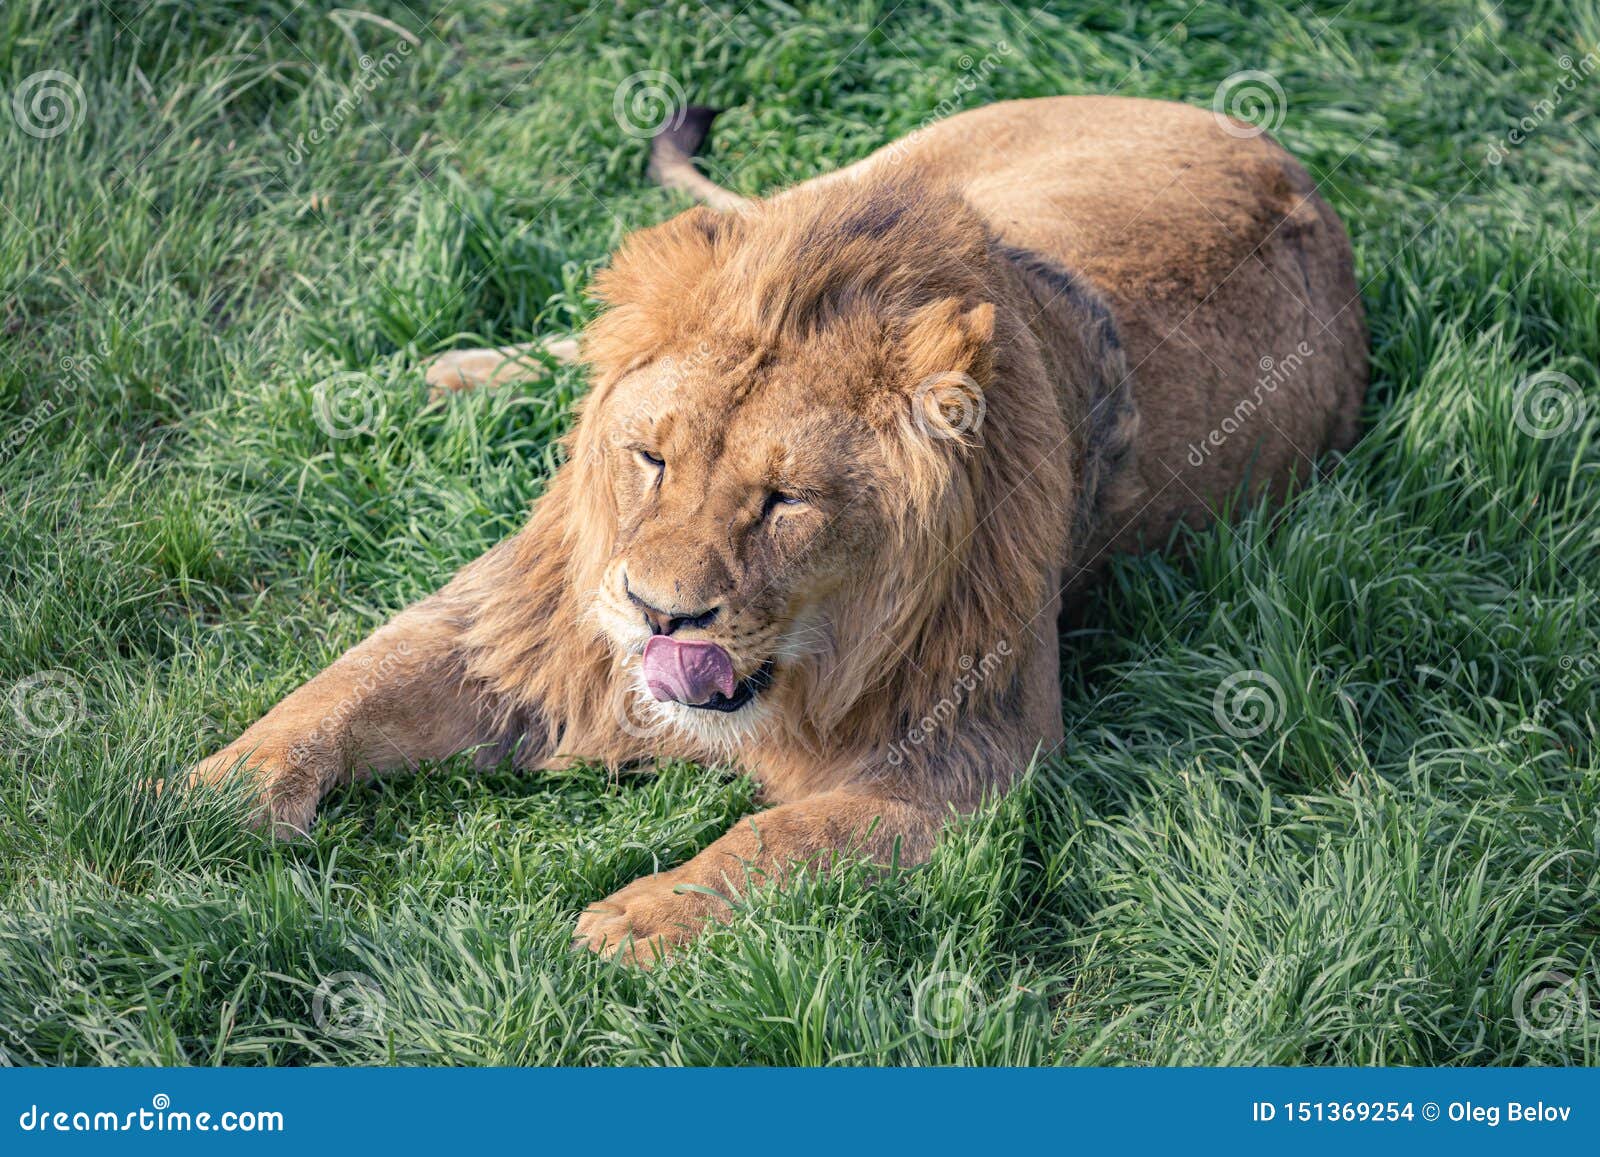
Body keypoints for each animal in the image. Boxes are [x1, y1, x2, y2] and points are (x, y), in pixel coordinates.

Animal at [190, 95, 1367, 963]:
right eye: (651, 459)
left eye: (783, 502)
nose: (659, 613)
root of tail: (1280, 155)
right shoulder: (514, 623)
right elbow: (340, 692)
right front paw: (200, 800)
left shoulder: (975, 757)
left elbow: (787, 834)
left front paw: (640, 916)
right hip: (876, 175)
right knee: (621, 304)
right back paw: (430, 377)